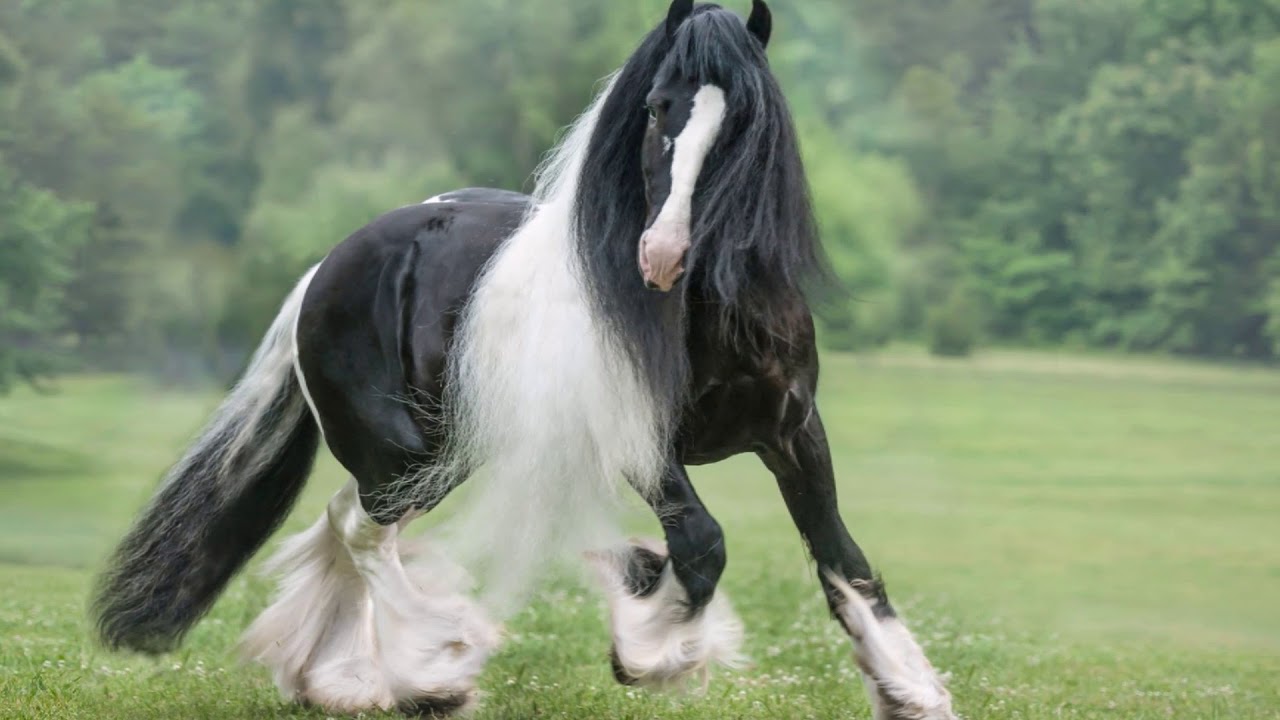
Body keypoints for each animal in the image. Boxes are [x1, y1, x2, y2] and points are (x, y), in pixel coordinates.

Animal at [90, 2, 958, 718]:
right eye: (656, 108)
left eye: (742, 120)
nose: (663, 256)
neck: (709, 318)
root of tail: (326, 267)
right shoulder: (641, 442)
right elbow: (702, 545)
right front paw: (651, 649)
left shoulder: (795, 433)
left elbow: (844, 561)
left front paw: (911, 691)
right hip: (408, 456)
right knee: (362, 532)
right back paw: (433, 670)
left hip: (441, 451)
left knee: (343, 525)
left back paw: (344, 683)